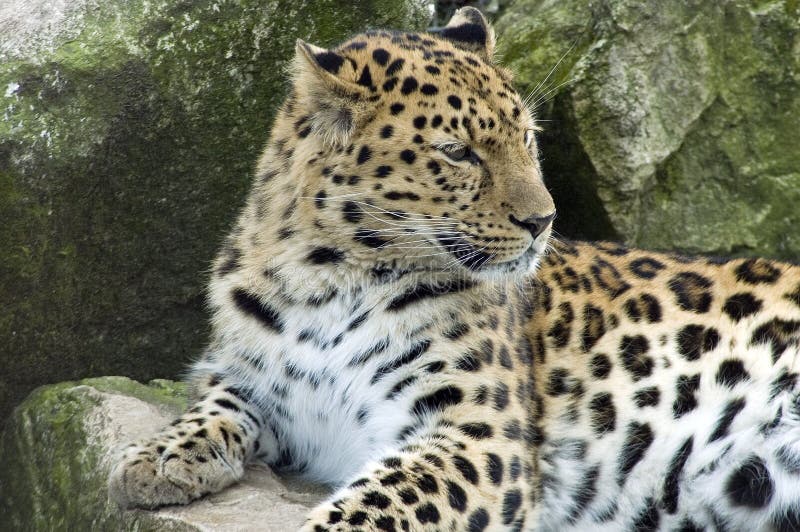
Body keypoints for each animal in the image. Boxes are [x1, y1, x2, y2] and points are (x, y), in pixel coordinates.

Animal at [109, 7, 800, 531]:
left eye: (528, 137)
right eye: (458, 152)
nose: (544, 220)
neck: (331, 278)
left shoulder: (477, 433)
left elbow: (376, 503)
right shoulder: (247, 375)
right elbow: (215, 406)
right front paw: (155, 458)